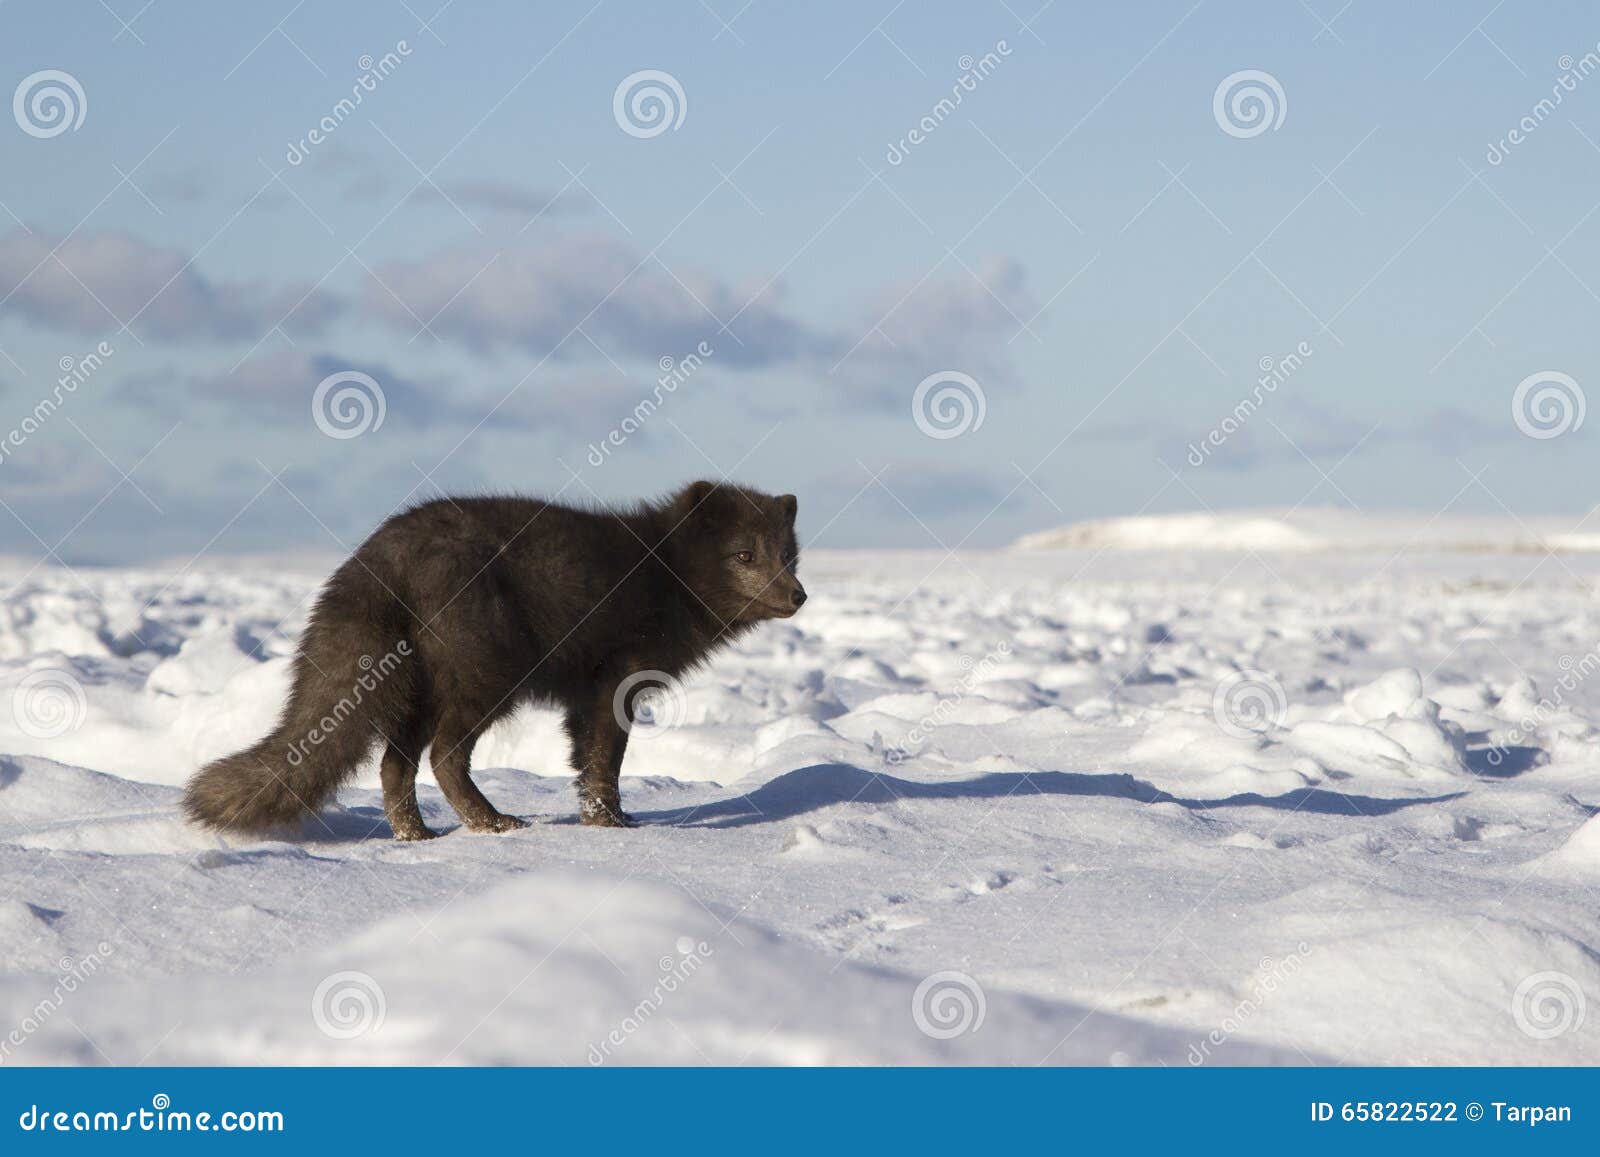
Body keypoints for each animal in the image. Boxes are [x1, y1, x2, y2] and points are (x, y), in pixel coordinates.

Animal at [183, 481, 804, 839]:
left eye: (788, 553)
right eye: (744, 555)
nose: (798, 595)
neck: (663, 568)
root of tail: (378, 556)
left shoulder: (587, 696)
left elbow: (586, 761)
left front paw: (606, 820)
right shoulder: (615, 681)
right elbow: (604, 761)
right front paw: (613, 826)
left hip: (416, 687)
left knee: (393, 766)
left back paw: (417, 837)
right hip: (490, 673)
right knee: (443, 756)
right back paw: (492, 824)